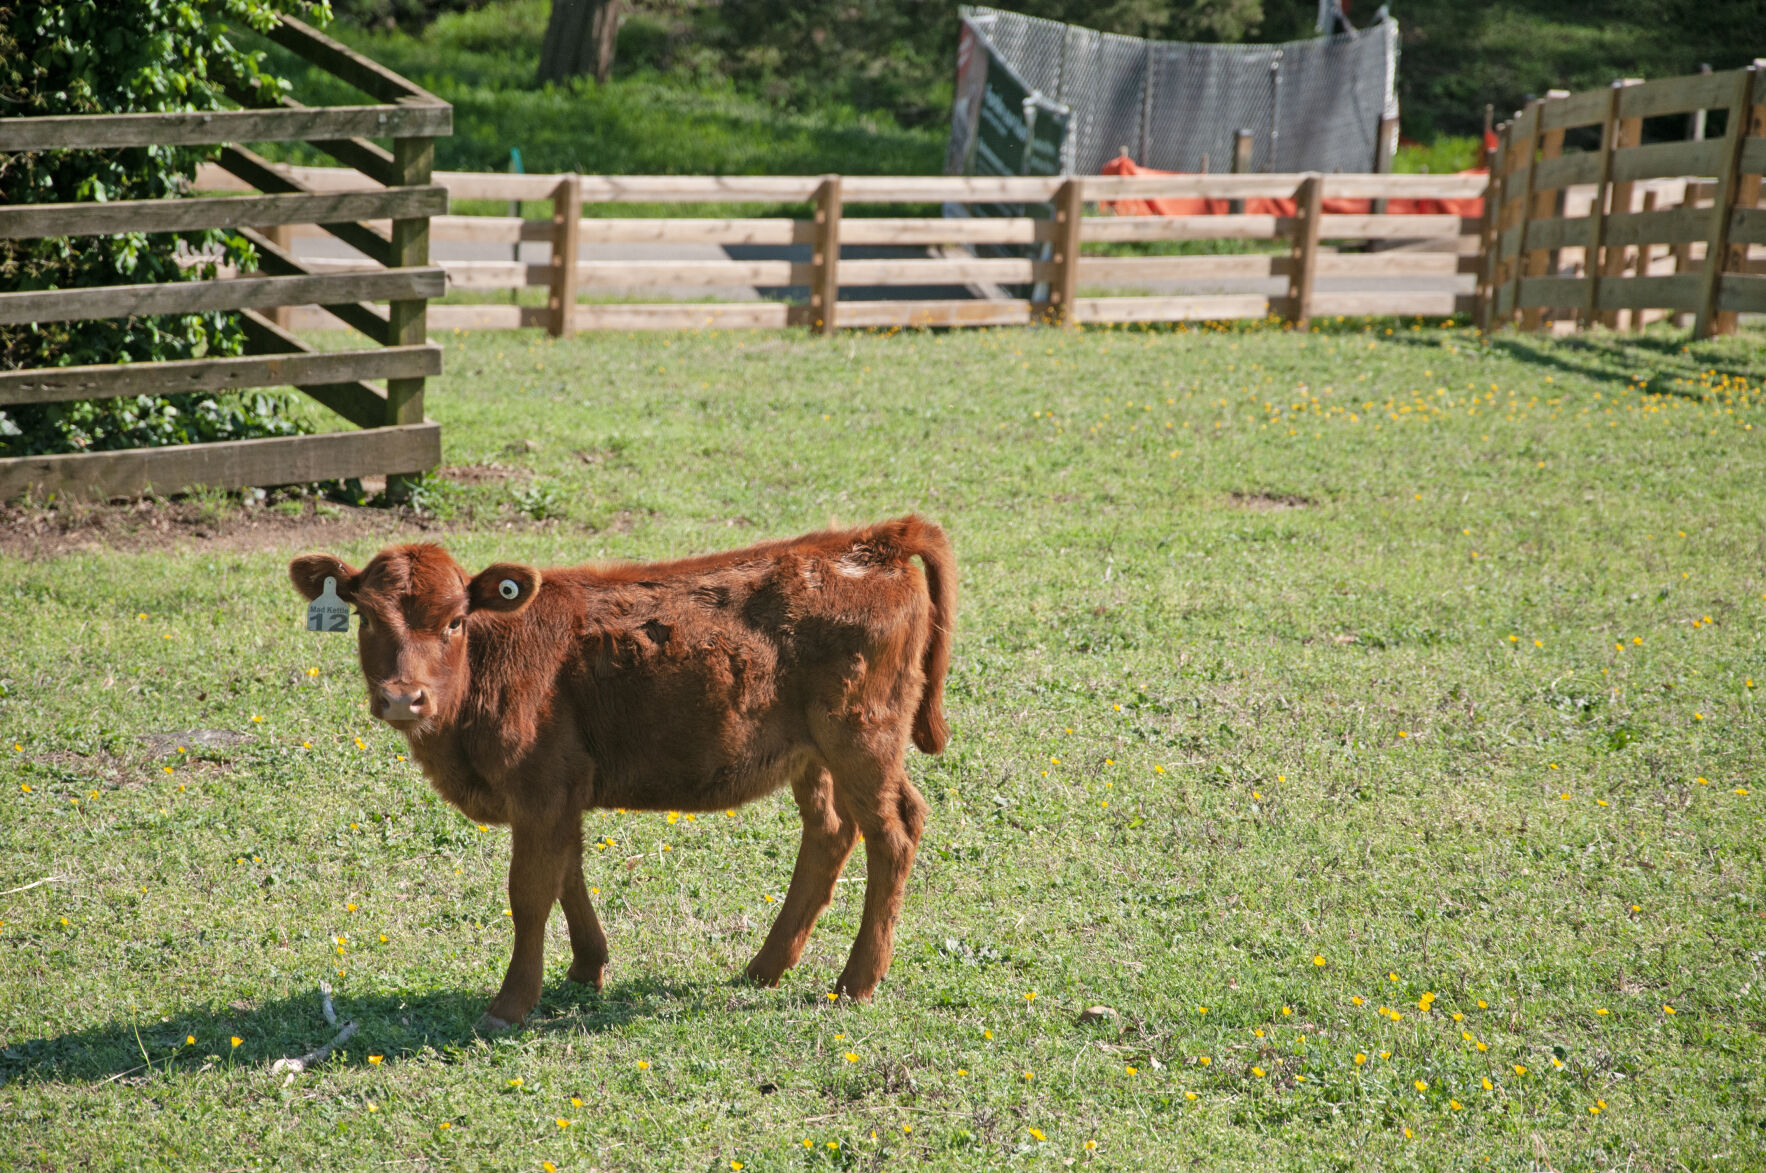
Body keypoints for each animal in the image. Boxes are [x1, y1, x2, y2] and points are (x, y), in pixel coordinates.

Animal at [289, 516, 954, 1030]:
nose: (404, 698)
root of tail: (871, 541)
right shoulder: (560, 795)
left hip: (862, 738)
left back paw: (856, 982)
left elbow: (529, 892)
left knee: (894, 832)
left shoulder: (539, 789)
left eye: (455, 621)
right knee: (831, 831)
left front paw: (510, 1004)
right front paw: (588, 967)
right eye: (367, 619)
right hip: (814, 755)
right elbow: (568, 874)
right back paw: (766, 967)